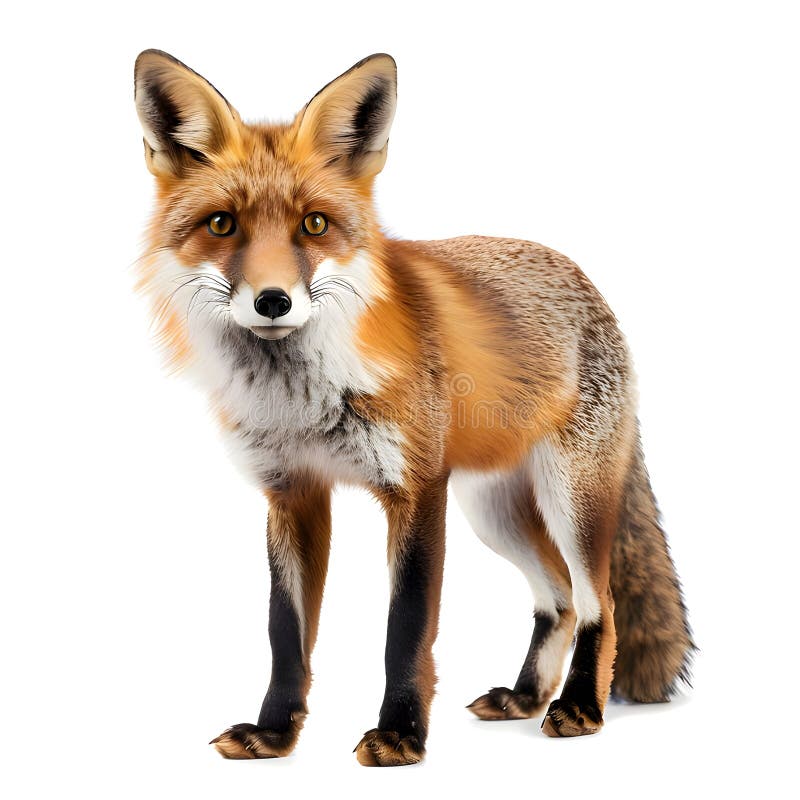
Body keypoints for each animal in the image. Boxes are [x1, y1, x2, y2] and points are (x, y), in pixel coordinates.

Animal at [133, 50, 694, 766]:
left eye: (314, 224)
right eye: (222, 224)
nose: (272, 301)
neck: (302, 399)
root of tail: (581, 276)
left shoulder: (418, 488)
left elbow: (406, 628)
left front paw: (400, 734)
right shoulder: (292, 493)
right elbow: (285, 634)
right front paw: (274, 732)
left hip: (569, 499)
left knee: (602, 606)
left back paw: (578, 709)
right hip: (496, 514)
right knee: (560, 601)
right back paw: (526, 697)